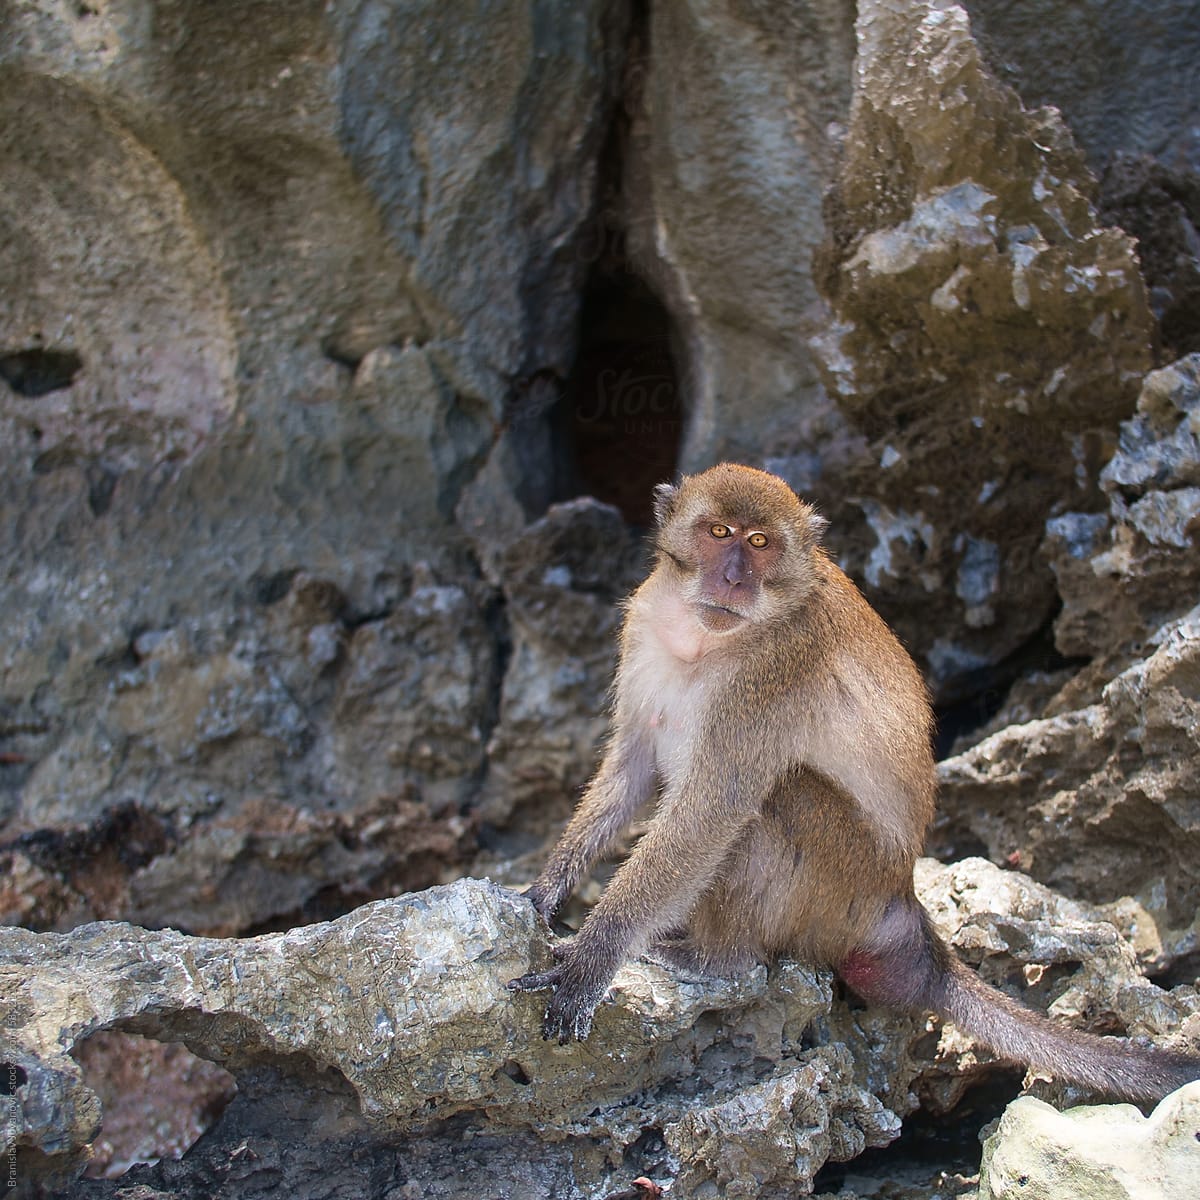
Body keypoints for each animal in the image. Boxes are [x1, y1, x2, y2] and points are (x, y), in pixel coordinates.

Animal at [508, 462, 1200, 1103]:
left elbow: (711, 813)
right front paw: (542, 892)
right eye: (720, 532)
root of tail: (901, 902)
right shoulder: (643, 628)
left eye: (760, 542)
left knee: (780, 798)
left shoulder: (774, 673)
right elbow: (631, 768)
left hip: (845, 883)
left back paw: (719, 959)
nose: (733, 577)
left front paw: (593, 959)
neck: (705, 639)